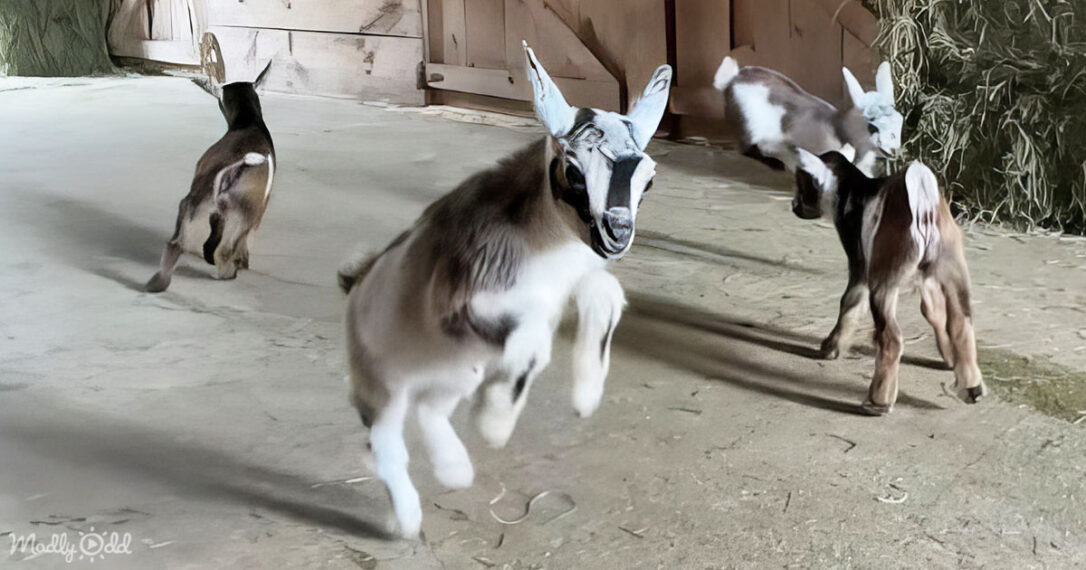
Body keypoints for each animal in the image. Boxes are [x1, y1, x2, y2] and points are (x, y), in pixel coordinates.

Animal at [146, 62, 275, 293]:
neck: (248, 122)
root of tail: (229, 172)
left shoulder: (216, 213)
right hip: (243, 214)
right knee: (224, 252)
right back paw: (228, 274)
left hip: (191, 204)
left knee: (174, 245)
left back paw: (158, 282)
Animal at [336, 43, 671, 537]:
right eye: (573, 169)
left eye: (648, 178)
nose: (618, 232)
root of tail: (355, 284)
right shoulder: (463, 301)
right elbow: (531, 342)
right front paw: (495, 421)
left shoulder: (568, 282)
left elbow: (605, 294)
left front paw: (585, 397)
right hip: (382, 379)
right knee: (385, 439)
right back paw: (407, 517)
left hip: (455, 370)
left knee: (431, 407)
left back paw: (454, 470)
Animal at [712, 56, 902, 177]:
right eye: (872, 125)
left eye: (899, 121)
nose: (895, 149)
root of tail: (731, 79)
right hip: (750, 126)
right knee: (750, 149)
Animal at [791, 148, 986, 415]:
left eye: (802, 182)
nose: (794, 206)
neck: (852, 187)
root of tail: (923, 205)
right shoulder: (927, 278)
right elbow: (933, 310)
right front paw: (948, 357)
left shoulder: (860, 263)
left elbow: (850, 301)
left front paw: (831, 348)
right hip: (952, 266)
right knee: (962, 323)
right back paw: (972, 388)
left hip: (885, 278)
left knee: (891, 336)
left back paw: (878, 401)